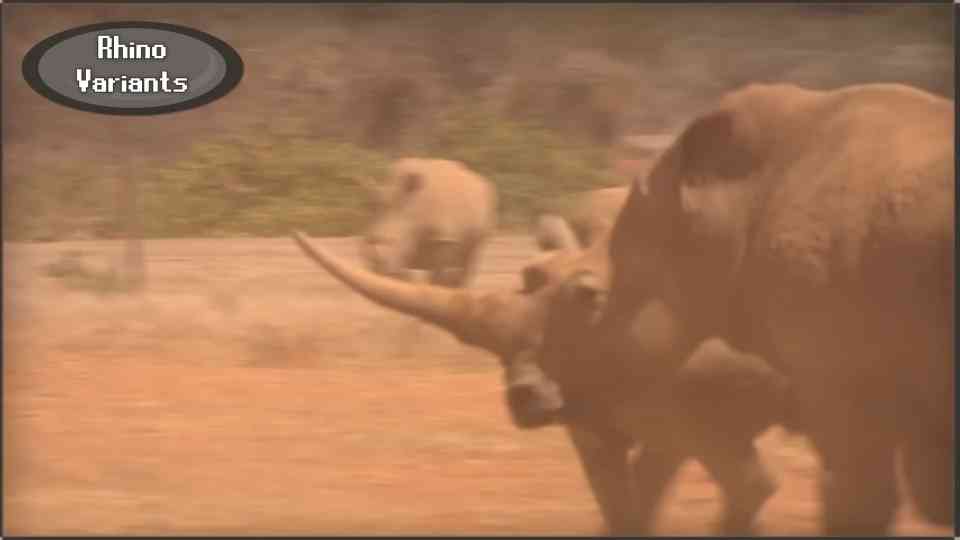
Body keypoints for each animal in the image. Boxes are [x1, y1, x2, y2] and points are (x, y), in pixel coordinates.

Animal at [357, 158, 497, 287]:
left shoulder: (442, 240)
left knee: (469, 259)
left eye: (396, 241)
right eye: (368, 239)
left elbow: (437, 274)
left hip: (486, 204)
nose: (378, 268)